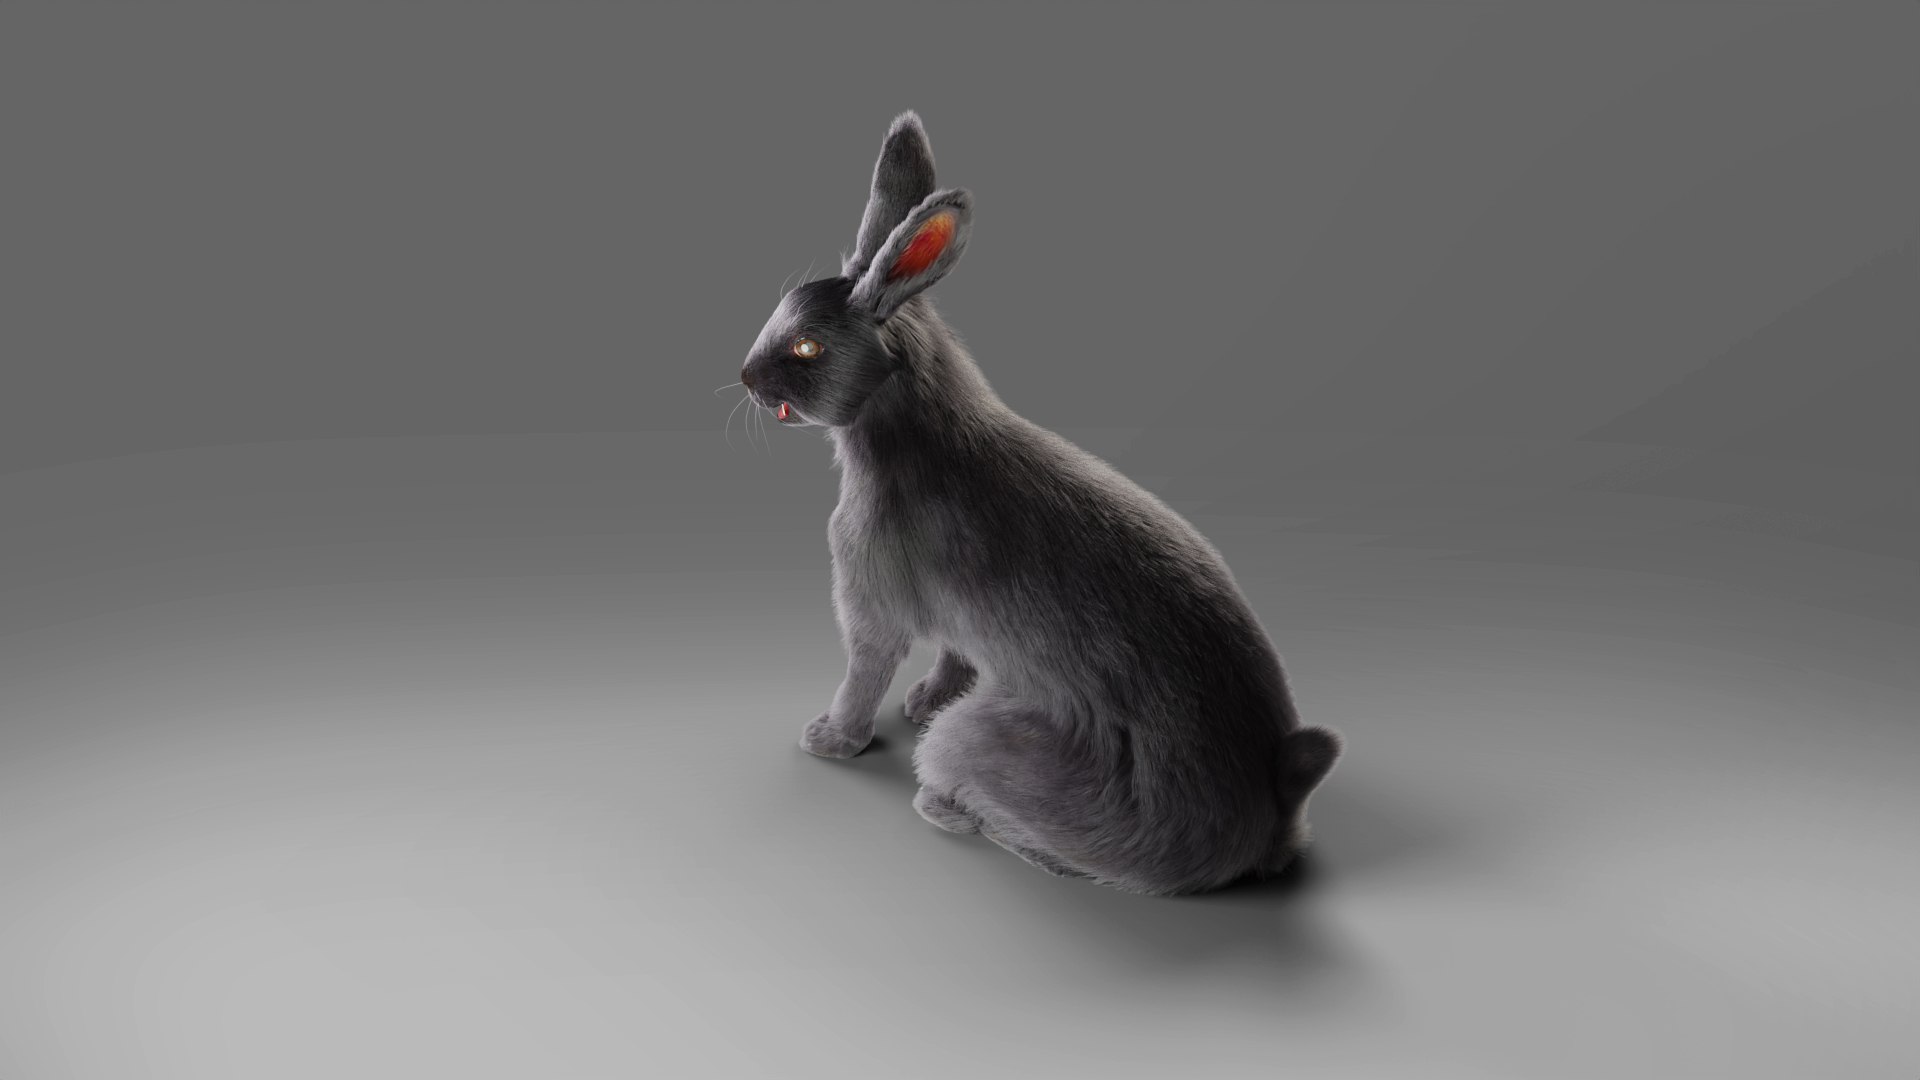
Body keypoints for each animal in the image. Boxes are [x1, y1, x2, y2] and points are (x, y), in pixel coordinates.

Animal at [736, 111, 1343, 895]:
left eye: (807, 347)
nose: (745, 376)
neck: (914, 431)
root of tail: (1263, 828)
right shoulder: (958, 622)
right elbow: (954, 656)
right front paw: (924, 698)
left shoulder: (873, 602)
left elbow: (865, 670)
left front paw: (832, 739)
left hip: (981, 742)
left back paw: (949, 807)